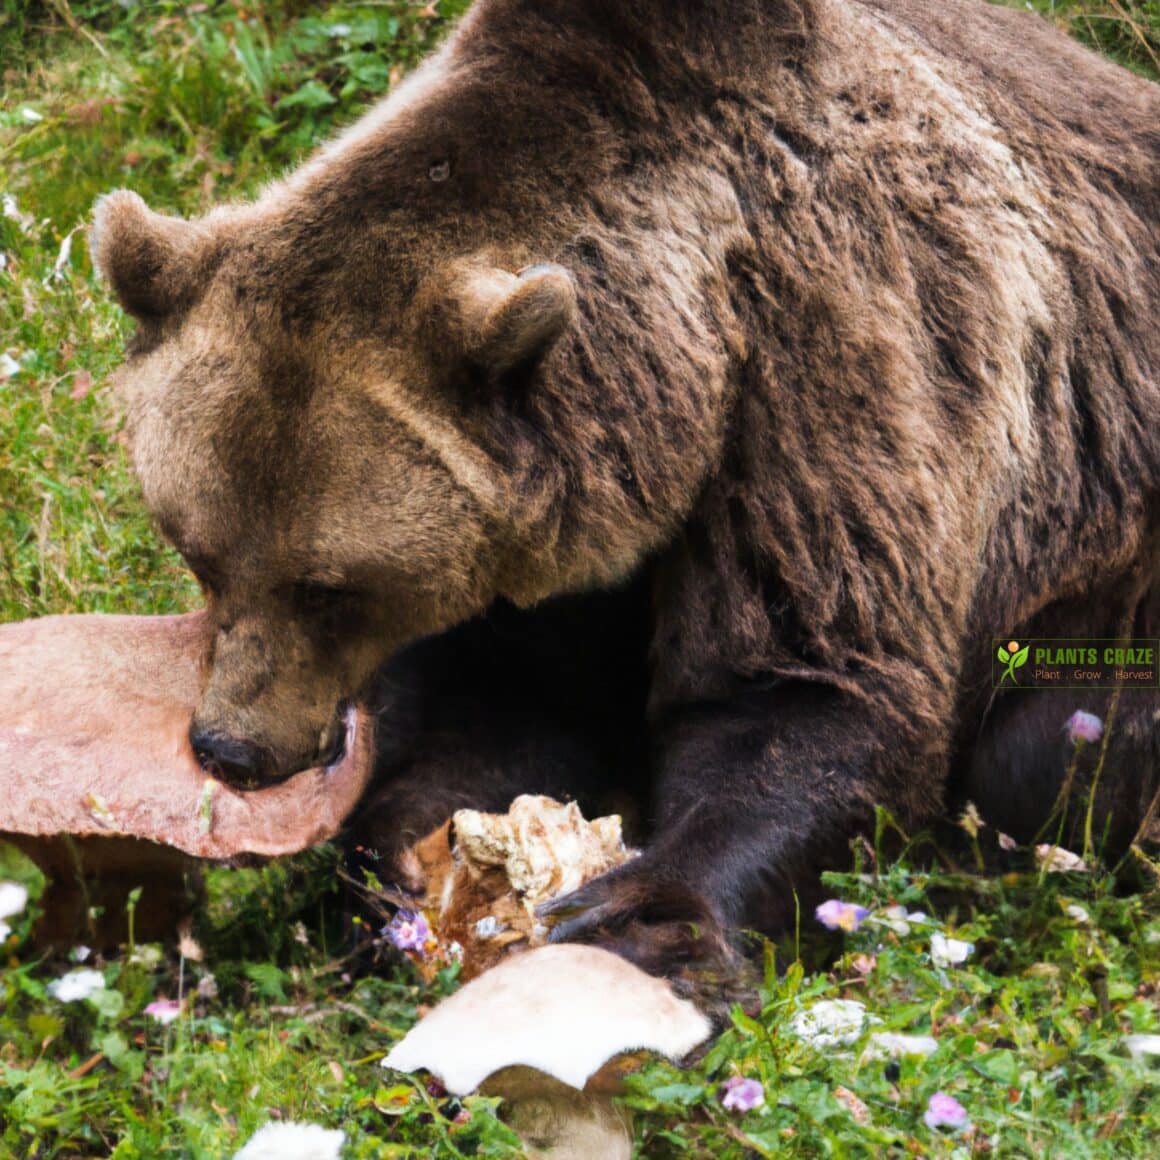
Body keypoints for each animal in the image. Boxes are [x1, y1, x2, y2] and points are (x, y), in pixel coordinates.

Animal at [92, 0, 1159, 996]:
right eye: (198, 554)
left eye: (331, 588)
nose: (235, 748)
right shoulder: (550, 544)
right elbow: (509, 708)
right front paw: (408, 870)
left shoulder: (830, 364)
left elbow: (809, 686)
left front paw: (635, 917)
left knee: (1054, 746)